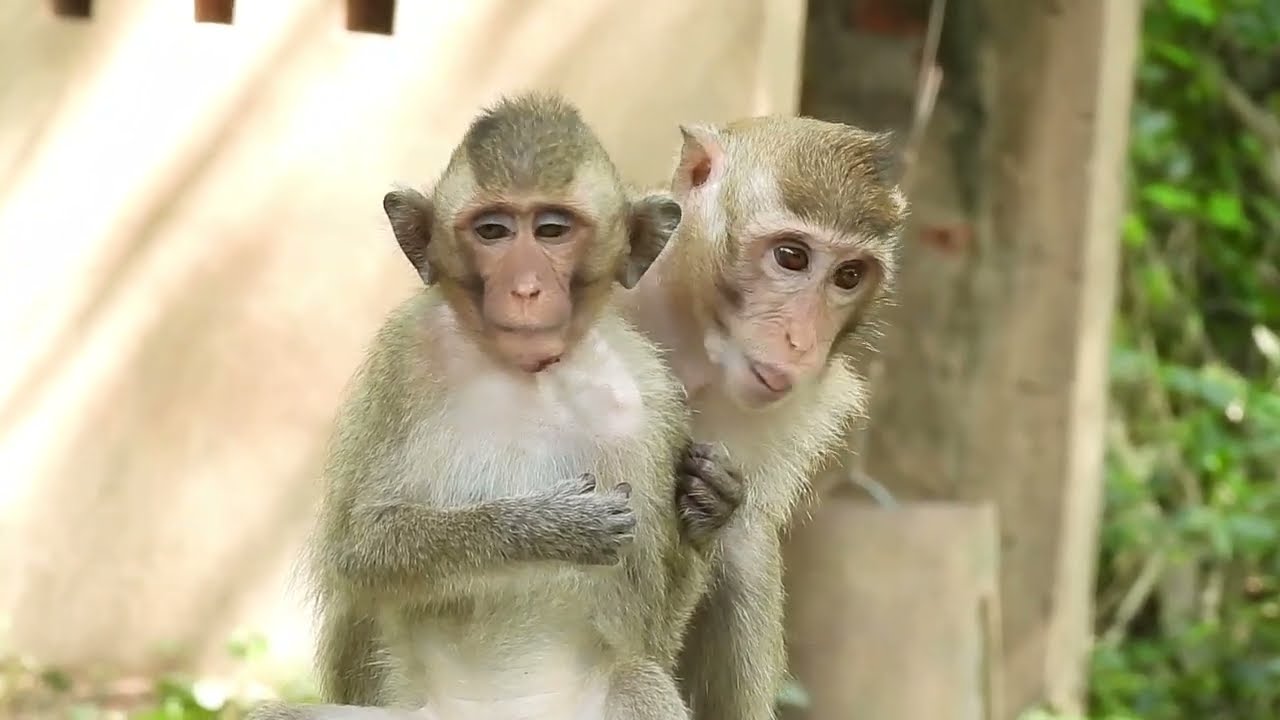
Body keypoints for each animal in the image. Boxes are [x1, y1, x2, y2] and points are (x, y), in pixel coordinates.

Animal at [249, 92, 744, 720]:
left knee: (640, 678)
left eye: (552, 230)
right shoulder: (401, 358)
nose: (526, 288)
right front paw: (549, 526)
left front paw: (711, 504)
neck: (527, 371)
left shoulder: (654, 402)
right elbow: (358, 546)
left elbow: (649, 635)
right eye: (493, 231)